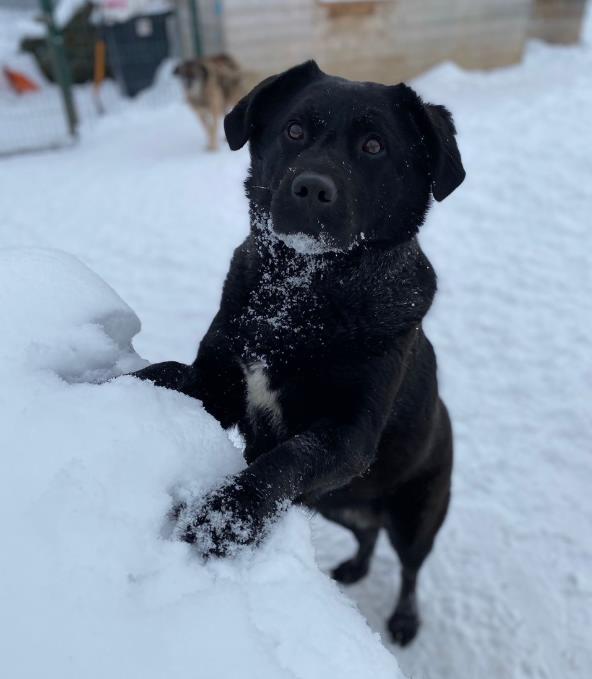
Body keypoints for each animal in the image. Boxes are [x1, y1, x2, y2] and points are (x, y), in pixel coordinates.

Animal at [133, 61, 462, 644]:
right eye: (294, 130)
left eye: (374, 145)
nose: (310, 188)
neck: (297, 302)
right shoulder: (221, 383)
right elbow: (171, 373)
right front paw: (108, 380)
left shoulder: (348, 435)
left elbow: (287, 457)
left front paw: (224, 518)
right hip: (341, 504)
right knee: (367, 535)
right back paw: (353, 567)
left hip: (416, 514)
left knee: (409, 568)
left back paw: (404, 619)